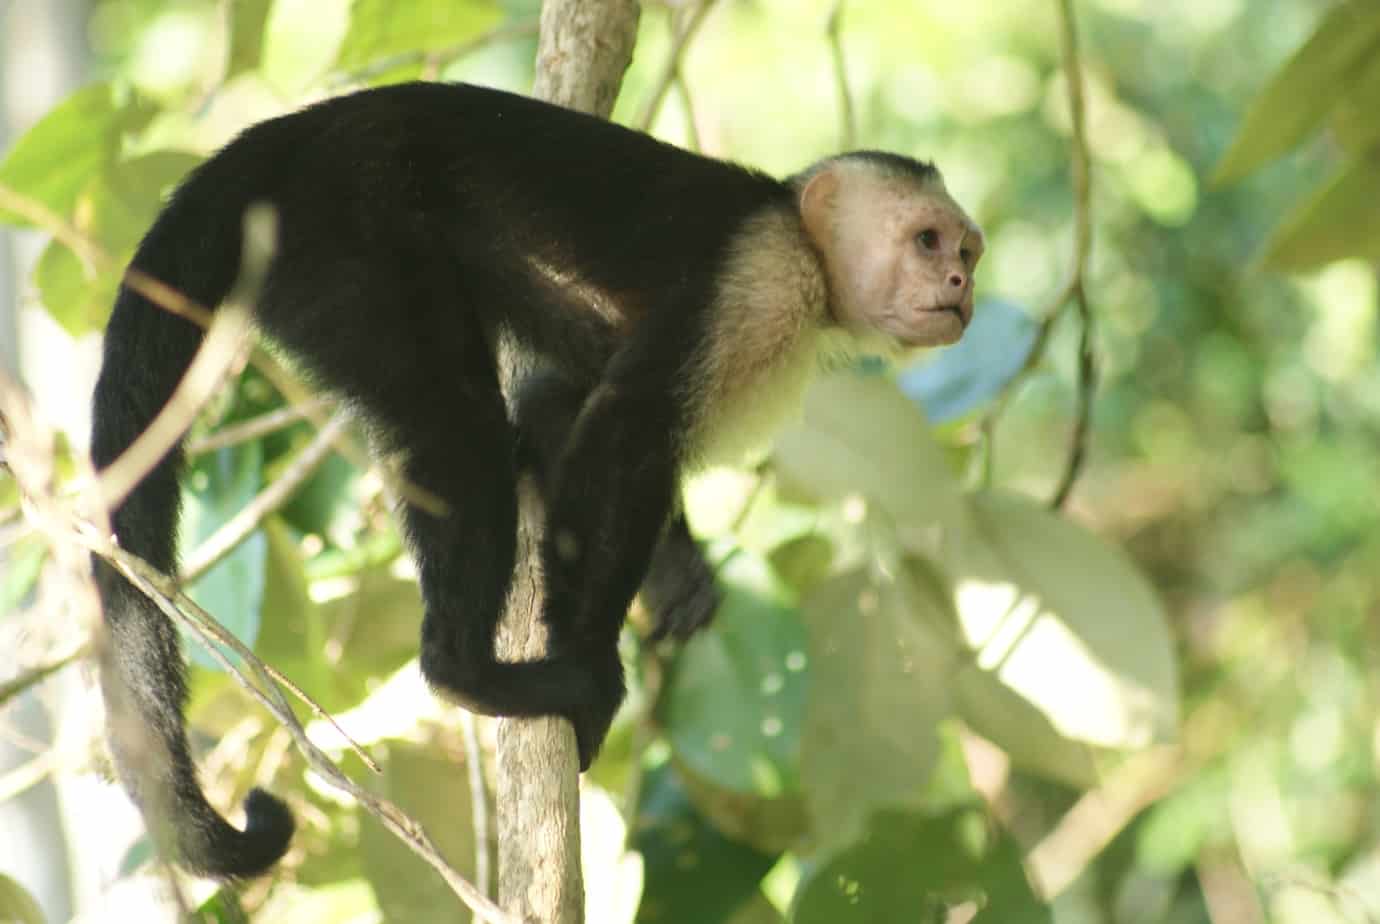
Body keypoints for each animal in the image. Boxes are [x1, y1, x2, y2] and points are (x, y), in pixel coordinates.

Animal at [88, 81, 983, 878]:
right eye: (927, 241)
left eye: (966, 252)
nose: (961, 287)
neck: (808, 255)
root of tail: (285, 138)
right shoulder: (759, 284)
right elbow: (628, 428)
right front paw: (586, 652)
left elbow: (563, 408)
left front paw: (679, 573)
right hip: (346, 231)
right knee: (461, 431)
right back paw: (467, 671)